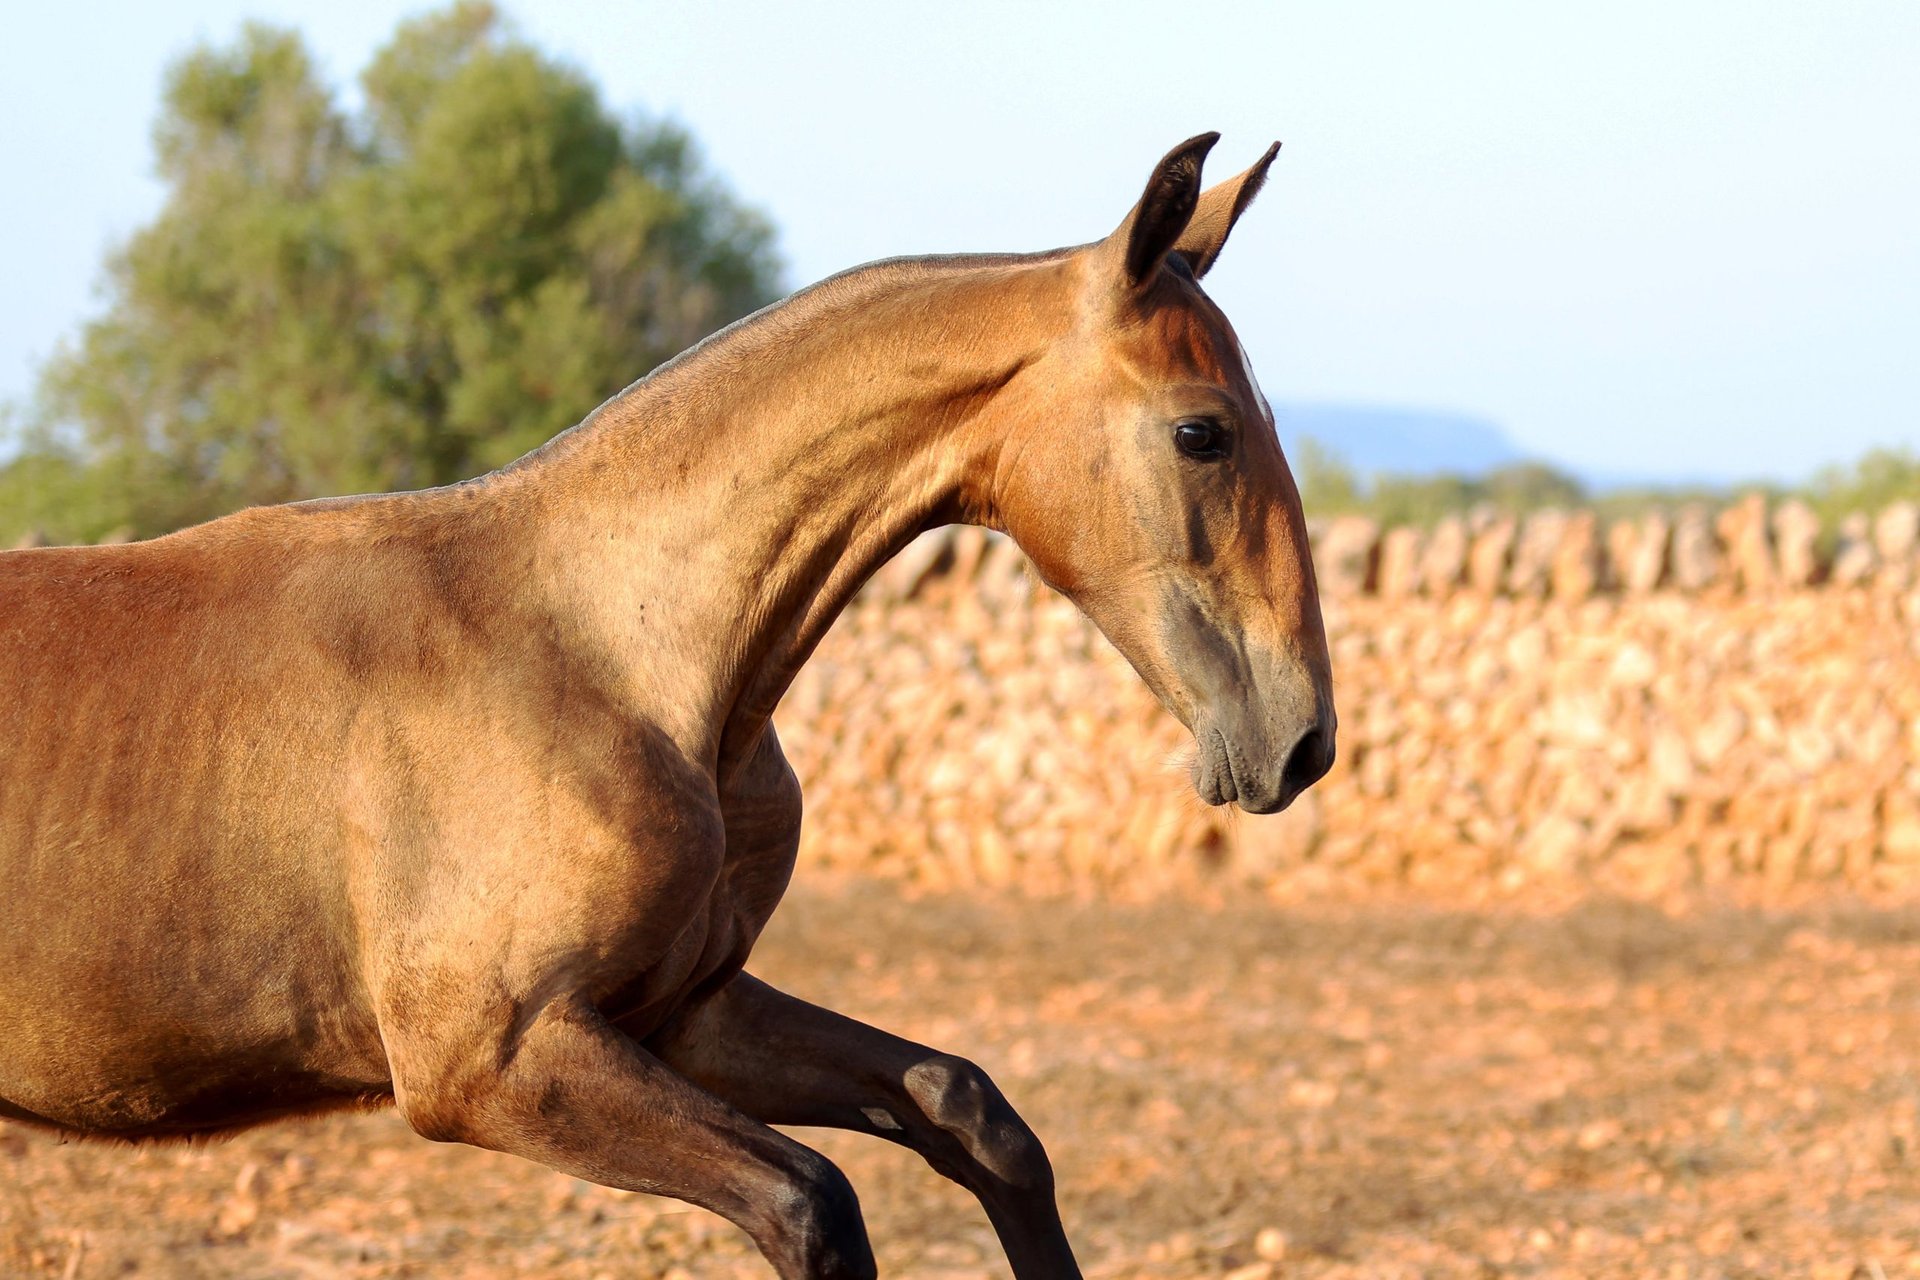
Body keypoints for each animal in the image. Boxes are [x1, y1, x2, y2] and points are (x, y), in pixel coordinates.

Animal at [0, 133, 1334, 1279]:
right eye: (1202, 430)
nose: (1303, 740)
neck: (609, 653)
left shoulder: (684, 1011)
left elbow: (972, 1109)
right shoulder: (490, 1061)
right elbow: (813, 1201)